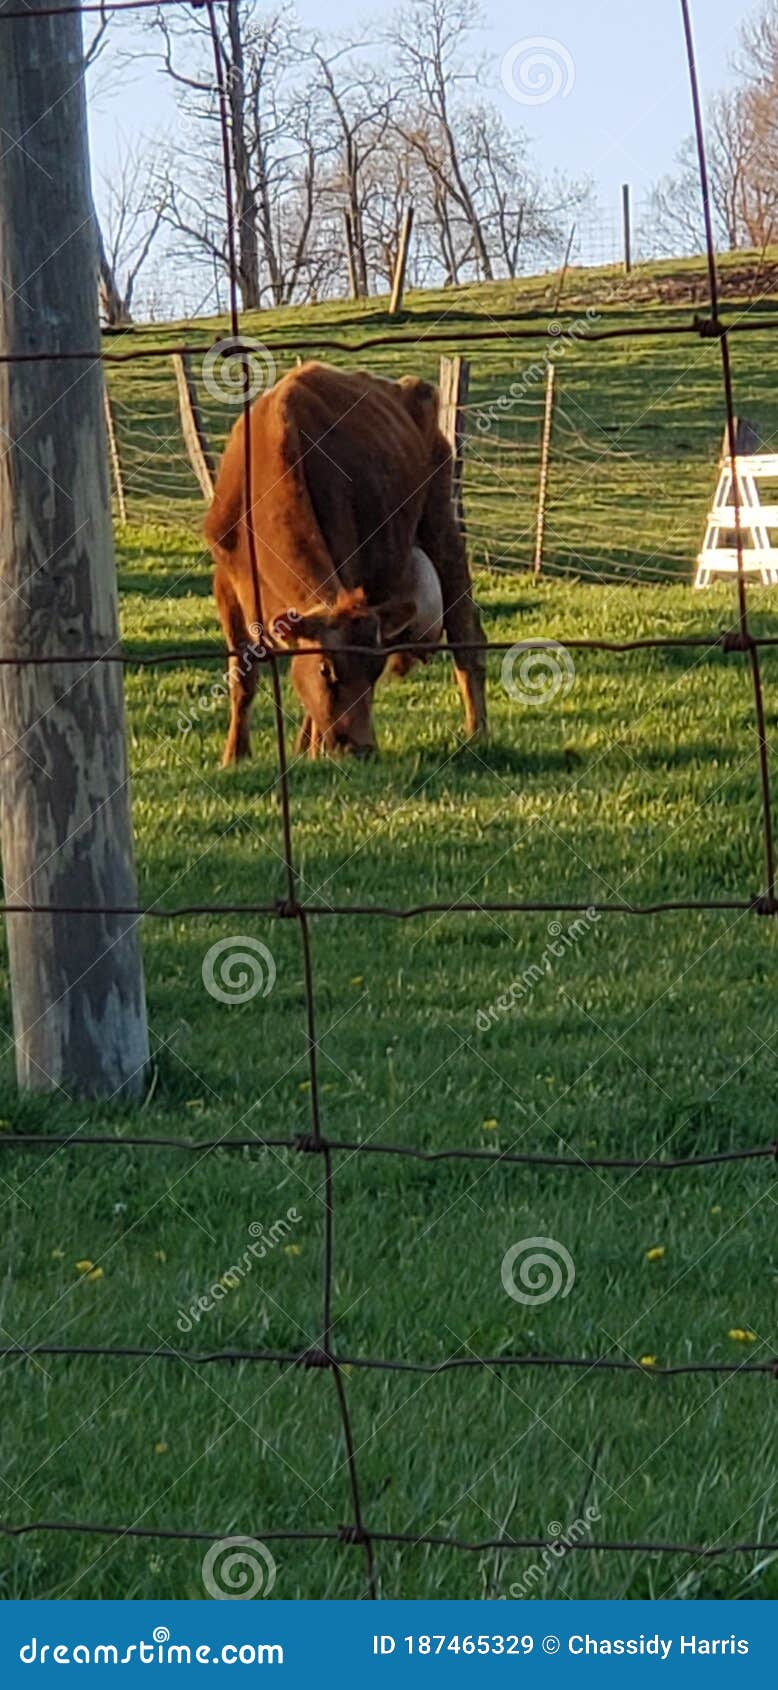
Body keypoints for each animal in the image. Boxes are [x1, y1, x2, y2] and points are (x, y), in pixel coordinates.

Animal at [204, 360, 487, 761]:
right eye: (326, 670)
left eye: (374, 671)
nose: (361, 748)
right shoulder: (225, 580)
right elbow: (243, 675)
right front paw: (235, 756)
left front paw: (313, 752)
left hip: (441, 518)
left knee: (466, 635)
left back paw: (478, 733)